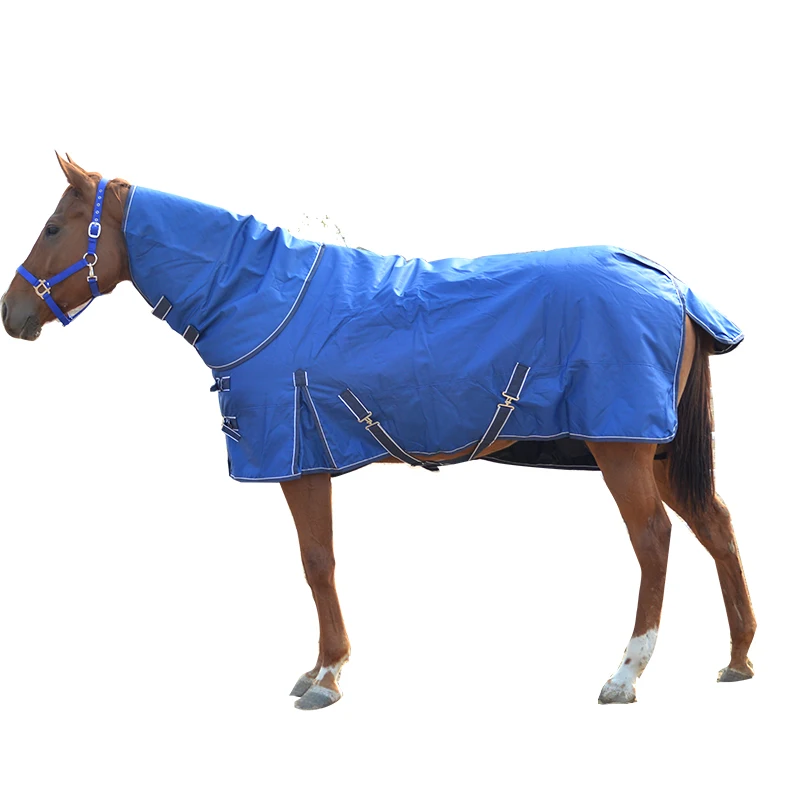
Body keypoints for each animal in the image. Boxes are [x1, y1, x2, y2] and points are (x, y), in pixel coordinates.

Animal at [1, 153, 756, 709]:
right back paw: (739, 658)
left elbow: (317, 563)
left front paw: (327, 677)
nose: (11, 314)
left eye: (53, 228)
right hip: (654, 447)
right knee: (714, 524)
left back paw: (626, 674)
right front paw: (319, 669)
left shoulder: (299, 463)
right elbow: (319, 564)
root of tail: (670, 284)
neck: (260, 296)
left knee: (654, 539)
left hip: (622, 446)